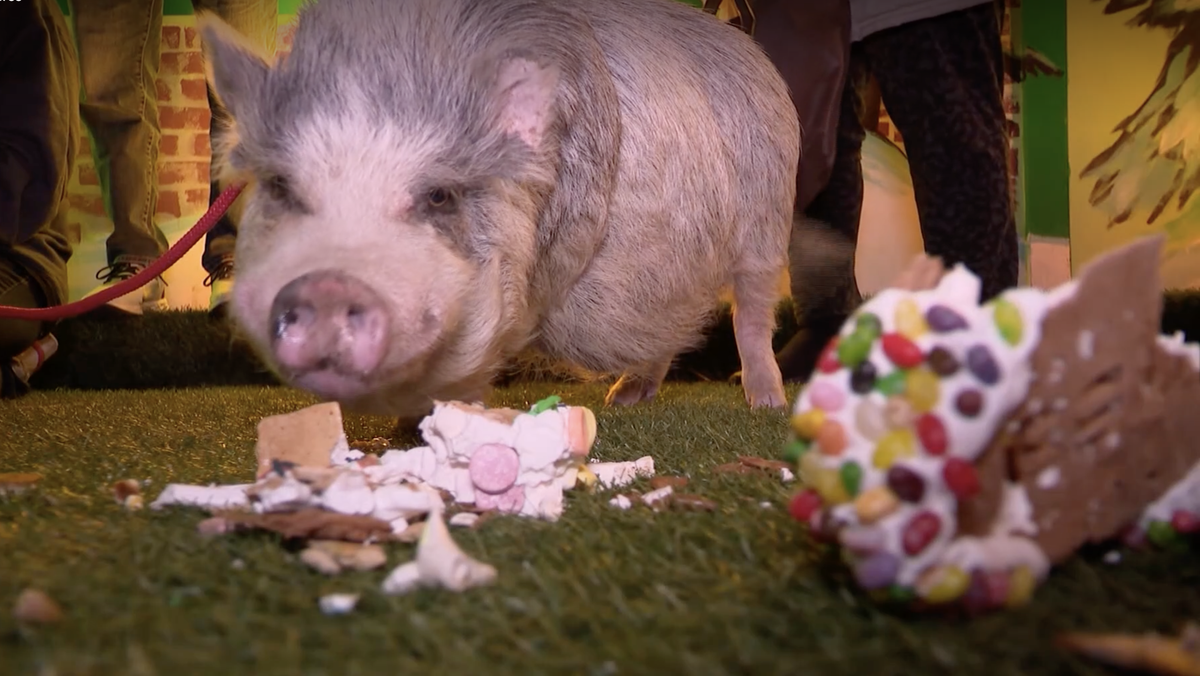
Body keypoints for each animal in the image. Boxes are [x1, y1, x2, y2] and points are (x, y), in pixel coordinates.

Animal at [196, 0, 800, 422]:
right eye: (281, 185)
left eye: (440, 195)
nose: (327, 286)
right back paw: (624, 399)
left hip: (768, 214)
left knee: (750, 313)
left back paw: (766, 404)